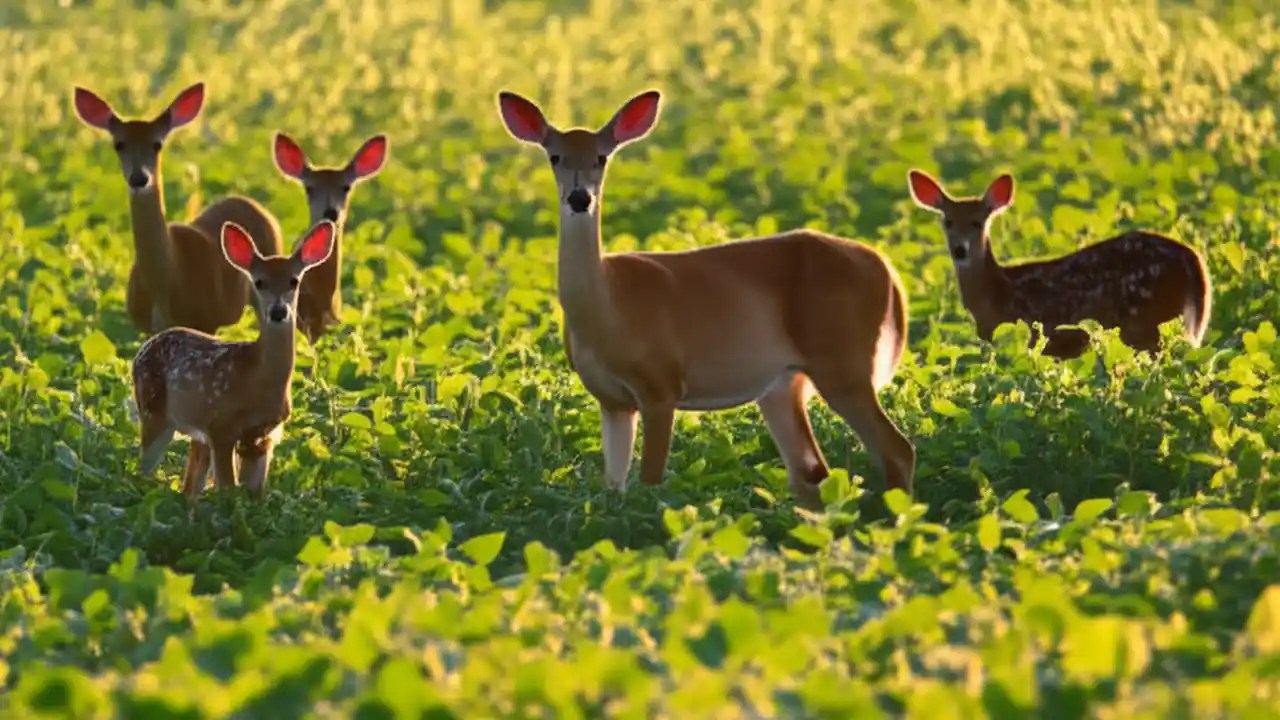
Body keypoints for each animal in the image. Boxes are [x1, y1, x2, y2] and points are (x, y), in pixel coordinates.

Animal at [131, 219, 336, 501]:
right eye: (259, 282)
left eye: (294, 281)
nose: (278, 311)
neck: (257, 379)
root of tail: (142, 349)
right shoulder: (221, 426)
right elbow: (227, 488)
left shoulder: (261, 436)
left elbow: (254, 492)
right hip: (153, 409)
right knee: (142, 470)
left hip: (197, 433)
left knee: (189, 487)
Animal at [497, 90, 915, 508]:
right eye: (555, 156)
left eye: (602, 157)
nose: (580, 197)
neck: (608, 308)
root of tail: (886, 270)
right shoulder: (612, 399)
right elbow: (614, 487)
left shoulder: (661, 384)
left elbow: (650, 482)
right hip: (784, 383)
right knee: (811, 474)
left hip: (843, 360)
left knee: (896, 449)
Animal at [907, 170, 1212, 359]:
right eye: (947, 222)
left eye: (977, 222)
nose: (960, 250)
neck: (997, 297)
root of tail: (1192, 259)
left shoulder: (1040, 332)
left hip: (1141, 316)